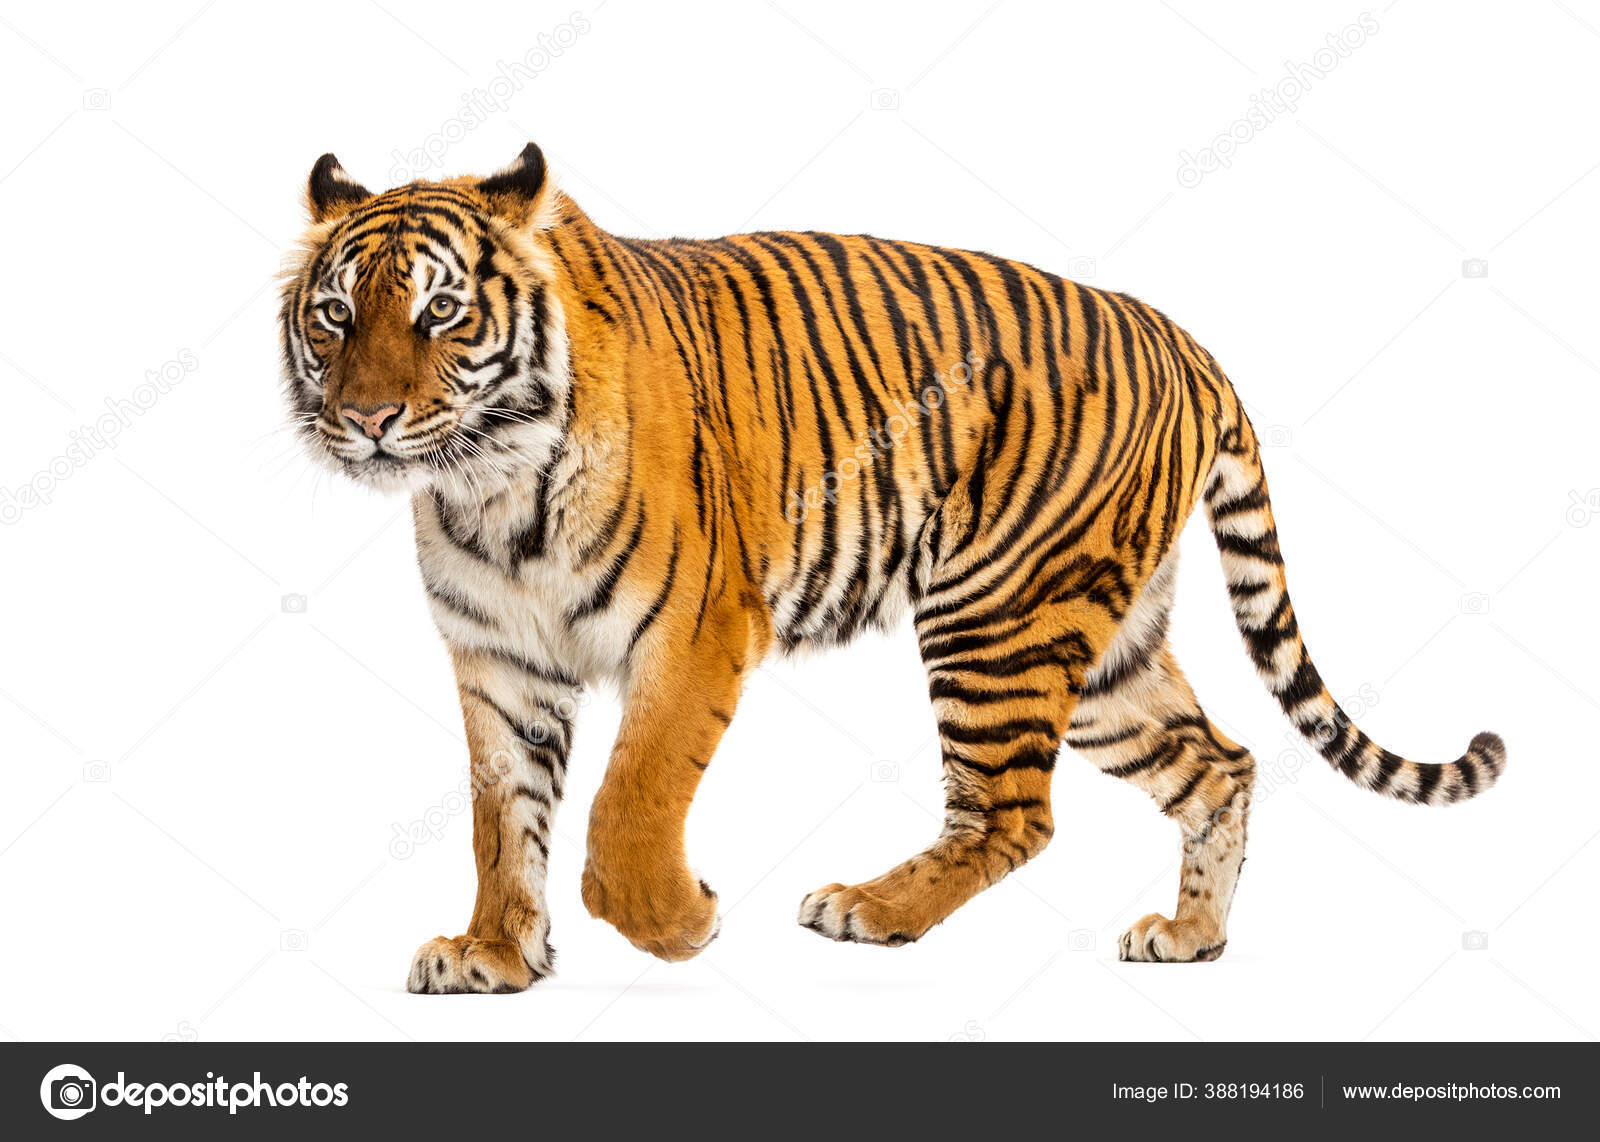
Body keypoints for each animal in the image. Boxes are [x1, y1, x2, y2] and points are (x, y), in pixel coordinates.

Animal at [279, 143, 1506, 993]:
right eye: (335, 315)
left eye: (441, 310)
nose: (368, 420)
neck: (485, 484)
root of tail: (1185, 343)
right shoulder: (499, 663)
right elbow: (504, 820)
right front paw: (493, 953)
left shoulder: (693, 630)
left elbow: (627, 806)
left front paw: (684, 920)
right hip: (1105, 653)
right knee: (1221, 763)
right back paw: (1192, 936)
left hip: (998, 616)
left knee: (1012, 814)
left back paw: (871, 909)